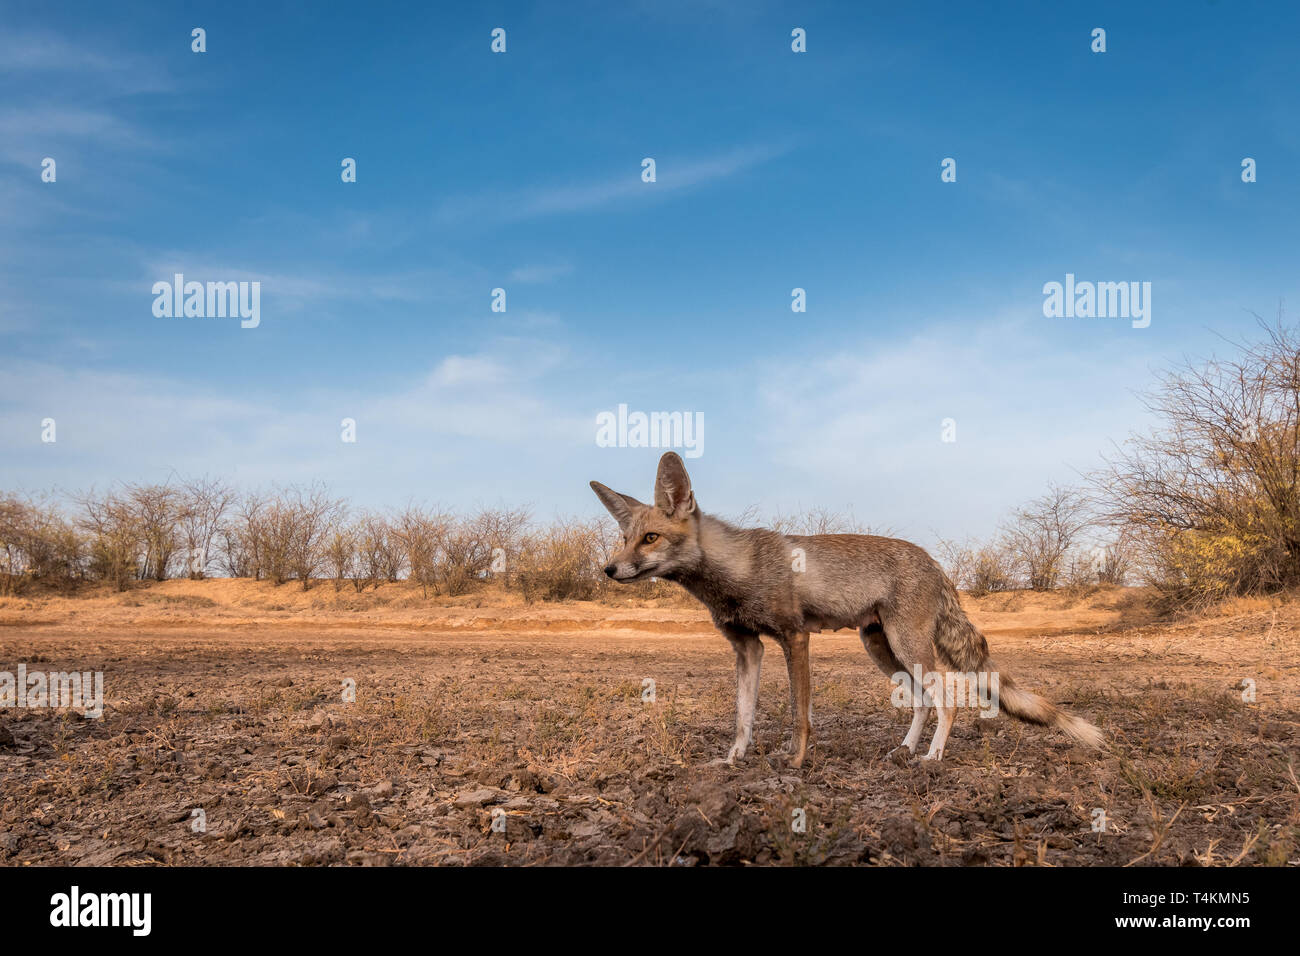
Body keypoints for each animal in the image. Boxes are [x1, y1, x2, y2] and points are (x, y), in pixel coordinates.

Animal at [590, 452, 1104, 768]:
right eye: (624, 538)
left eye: (650, 538)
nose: (609, 568)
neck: (736, 572)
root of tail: (936, 563)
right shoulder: (747, 648)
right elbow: (743, 716)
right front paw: (734, 759)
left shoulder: (795, 637)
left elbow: (799, 715)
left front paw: (796, 762)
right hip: (883, 651)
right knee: (922, 702)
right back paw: (904, 750)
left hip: (908, 648)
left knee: (949, 697)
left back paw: (933, 758)